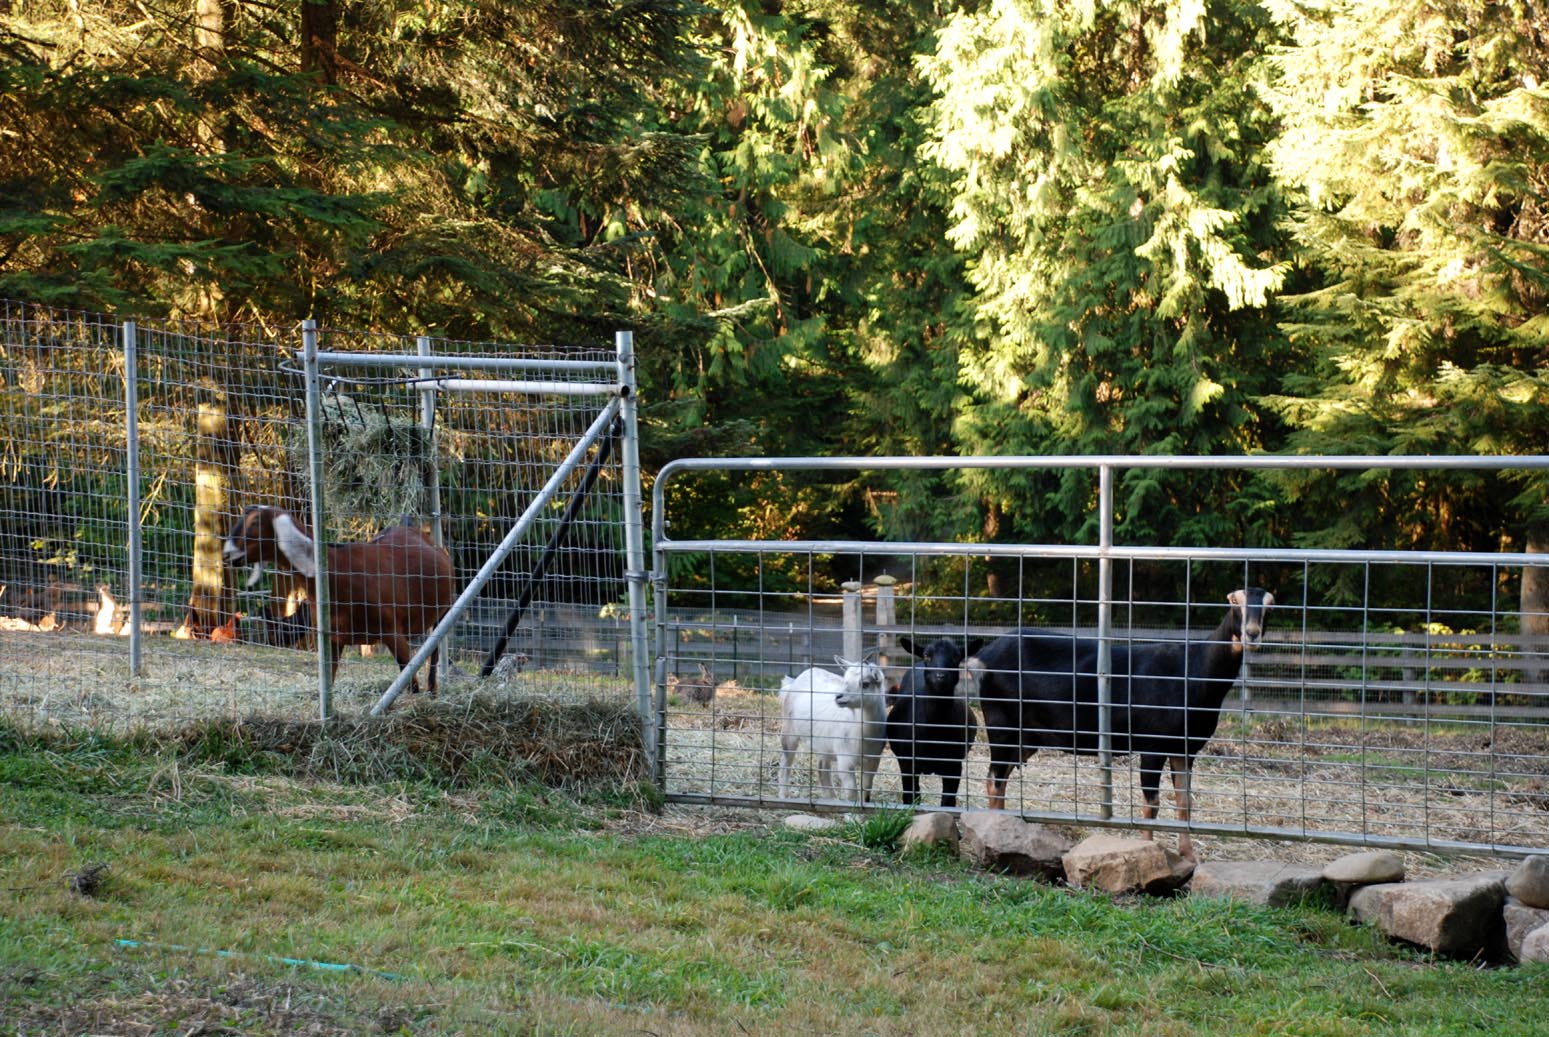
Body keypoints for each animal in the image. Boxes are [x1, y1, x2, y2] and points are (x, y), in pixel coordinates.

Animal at [222, 505, 457, 696]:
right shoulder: (334, 639)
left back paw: (433, 691)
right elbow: (330, 679)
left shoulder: (392, 631)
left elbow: (411, 683)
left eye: (255, 523)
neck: (340, 572)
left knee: (435, 652)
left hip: (444, 610)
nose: (226, 555)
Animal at [777, 657, 888, 806]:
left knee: (822, 766)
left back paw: (831, 798)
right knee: (786, 760)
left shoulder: (873, 761)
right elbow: (851, 792)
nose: (838, 697)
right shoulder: (844, 761)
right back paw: (784, 795)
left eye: (865, 684)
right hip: (789, 729)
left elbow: (866, 789)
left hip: (824, 743)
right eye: (845, 680)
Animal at [885, 635, 985, 808]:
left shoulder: (954, 765)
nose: (940, 676)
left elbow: (948, 802)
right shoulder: (907, 763)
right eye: (927, 655)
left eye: (956, 656)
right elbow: (911, 798)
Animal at [970, 588, 1275, 859]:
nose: (1252, 633)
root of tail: (984, 656)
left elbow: (1184, 803)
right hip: (1001, 722)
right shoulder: (1153, 745)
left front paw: (1190, 856)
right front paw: (1149, 852)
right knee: (994, 780)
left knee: (1001, 778)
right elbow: (1151, 805)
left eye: (1270, 605)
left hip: (1027, 735)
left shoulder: (1184, 749)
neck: (1193, 670)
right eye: (1234, 602)